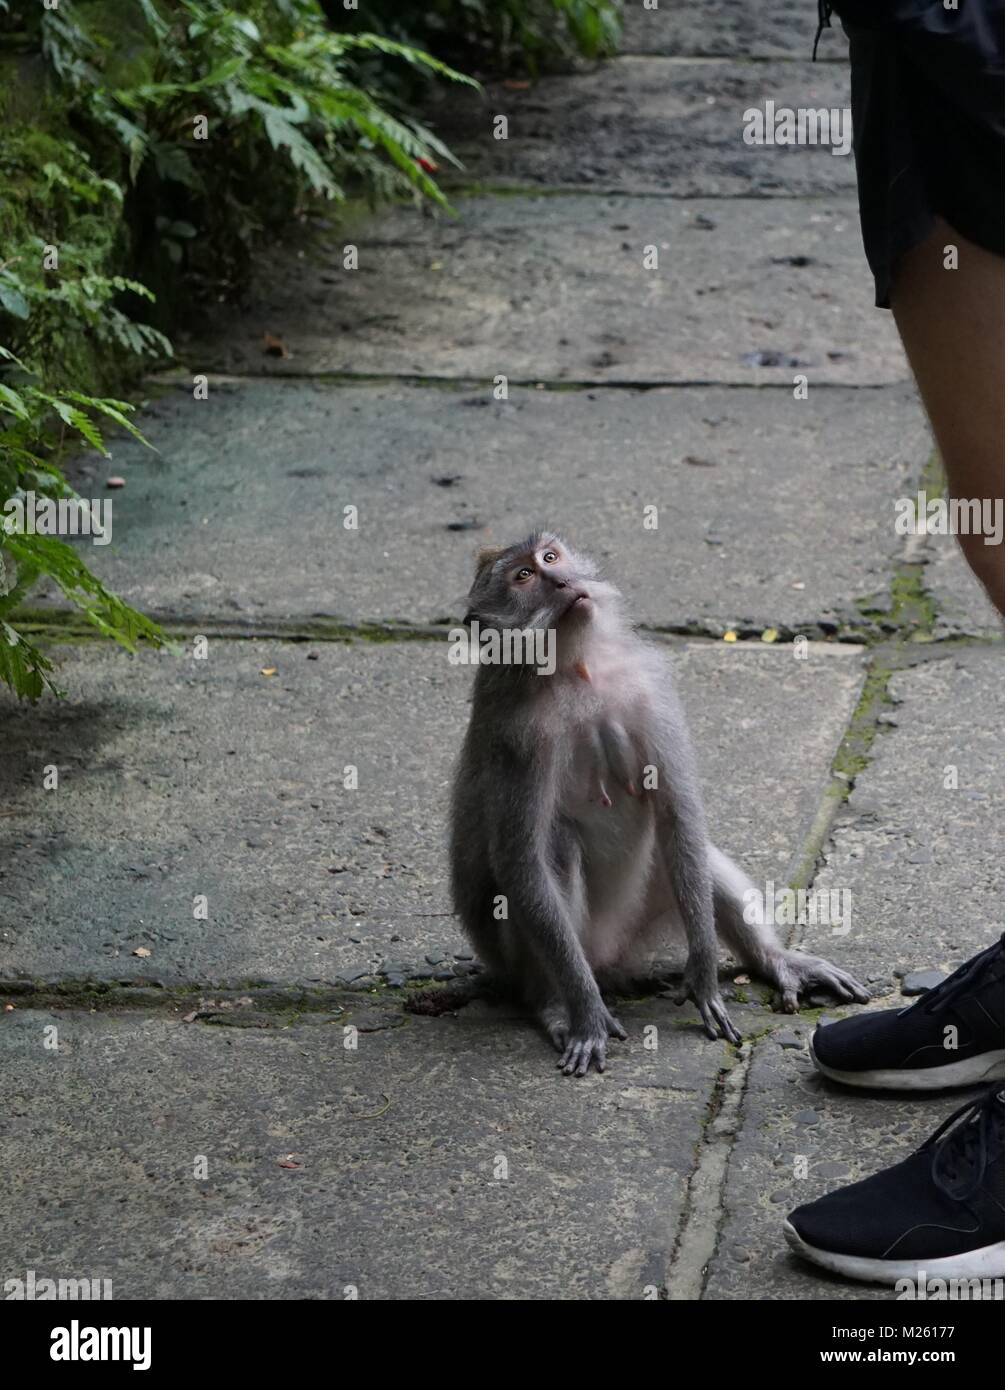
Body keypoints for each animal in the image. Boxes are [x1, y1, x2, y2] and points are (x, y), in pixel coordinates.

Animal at [449, 531, 869, 1077]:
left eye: (549, 558)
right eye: (523, 576)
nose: (562, 581)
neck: (578, 669)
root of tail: (610, 957)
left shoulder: (652, 686)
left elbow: (679, 813)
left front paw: (705, 975)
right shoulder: (516, 736)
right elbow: (521, 862)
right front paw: (584, 1011)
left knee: (691, 855)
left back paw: (773, 961)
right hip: (534, 956)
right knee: (555, 853)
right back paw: (555, 1002)